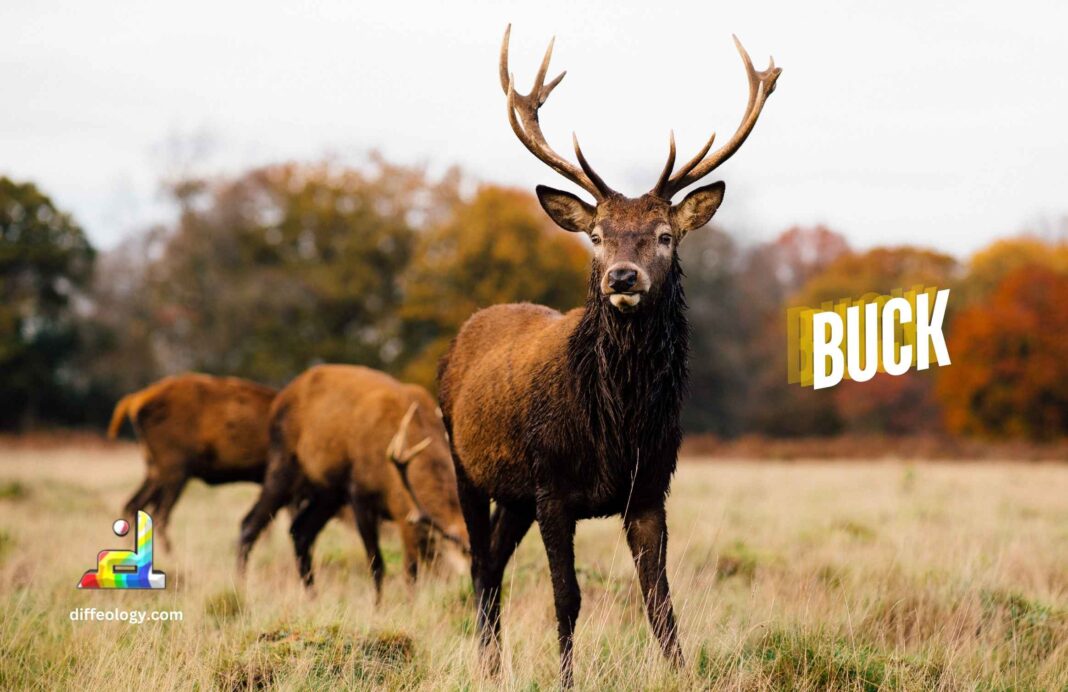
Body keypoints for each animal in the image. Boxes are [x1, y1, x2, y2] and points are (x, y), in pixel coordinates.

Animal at [108, 373, 278, 552]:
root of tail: (137, 399)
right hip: (176, 472)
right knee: (160, 514)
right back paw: (171, 554)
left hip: (155, 471)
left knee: (133, 505)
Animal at [236, 364, 469, 598]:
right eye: (465, 553)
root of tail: (279, 399)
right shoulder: (359, 493)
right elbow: (378, 564)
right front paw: (378, 605)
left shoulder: (406, 519)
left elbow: (411, 571)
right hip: (283, 462)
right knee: (250, 524)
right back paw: (241, 588)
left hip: (328, 493)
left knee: (300, 531)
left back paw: (312, 596)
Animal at [437, 26, 780, 686]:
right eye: (596, 236)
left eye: (665, 236)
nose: (621, 276)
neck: (616, 426)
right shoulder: (552, 487)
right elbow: (566, 597)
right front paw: (566, 679)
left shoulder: (649, 489)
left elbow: (660, 602)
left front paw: (681, 674)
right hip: (465, 464)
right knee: (479, 563)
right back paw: (488, 665)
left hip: (513, 494)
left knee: (491, 561)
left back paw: (492, 663)